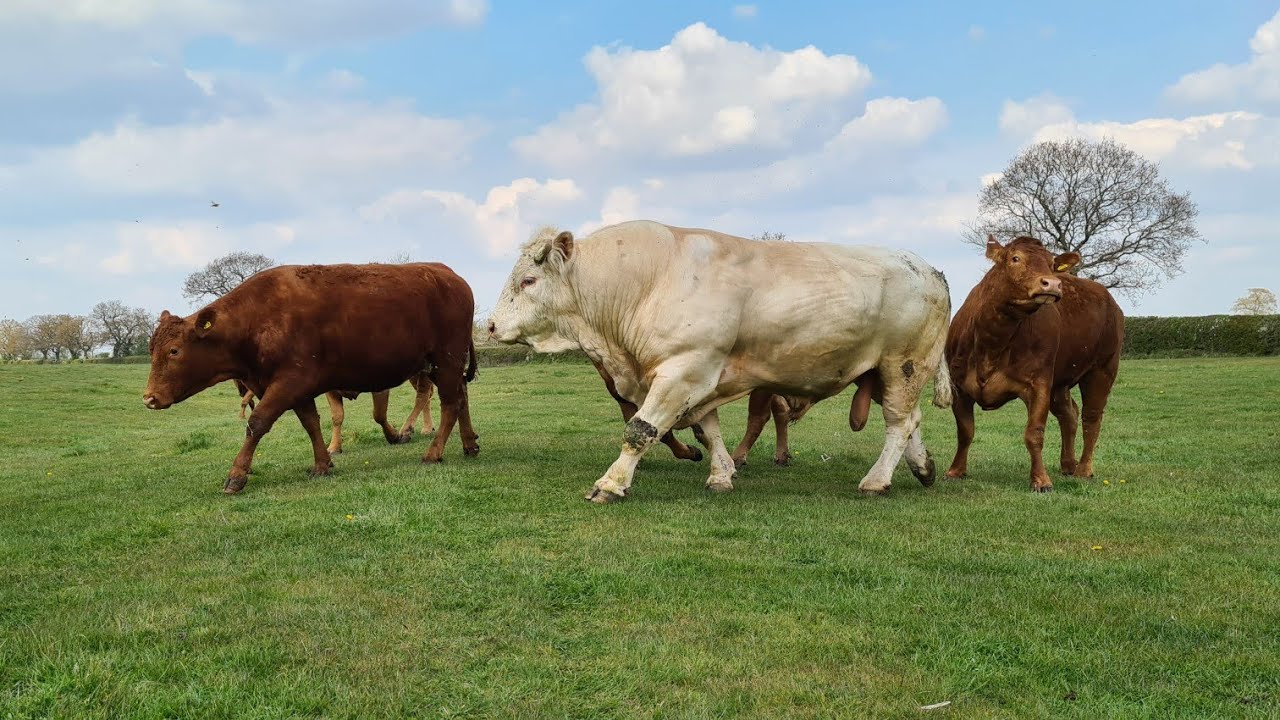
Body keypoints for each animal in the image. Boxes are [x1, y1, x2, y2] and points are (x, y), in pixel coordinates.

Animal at [144, 262, 479, 494]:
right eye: (151, 349)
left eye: (174, 351)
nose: (149, 397)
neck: (258, 319)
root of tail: (445, 273)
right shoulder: (297, 389)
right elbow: (311, 423)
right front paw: (322, 463)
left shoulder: (289, 382)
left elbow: (257, 423)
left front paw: (236, 475)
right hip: (444, 366)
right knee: (462, 398)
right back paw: (469, 444)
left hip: (445, 361)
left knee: (451, 403)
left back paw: (433, 452)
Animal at [487, 220, 952, 503]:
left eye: (528, 280)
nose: (490, 325)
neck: (647, 281)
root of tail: (929, 268)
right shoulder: (699, 377)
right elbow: (707, 431)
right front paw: (721, 474)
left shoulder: (683, 369)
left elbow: (640, 430)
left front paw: (611, 483)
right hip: (883, 372)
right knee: (909, 420)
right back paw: (924, 466)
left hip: (904, 362)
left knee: (899, 423)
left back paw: (877, 480)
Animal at [944, 235, 1124, 492]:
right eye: (1015, 258)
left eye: (1051, 263)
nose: (1053, 284)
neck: (991, 342)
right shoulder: (958, 384)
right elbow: (965, 431)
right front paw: (955, 471)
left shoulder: (1039, 383)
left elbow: (1034, 433)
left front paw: (1041, 480)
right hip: (1060, 382)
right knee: (1069, 414)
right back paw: (1068, 464)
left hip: (1102, 369)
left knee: (1091, 417)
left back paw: (1083, 469)